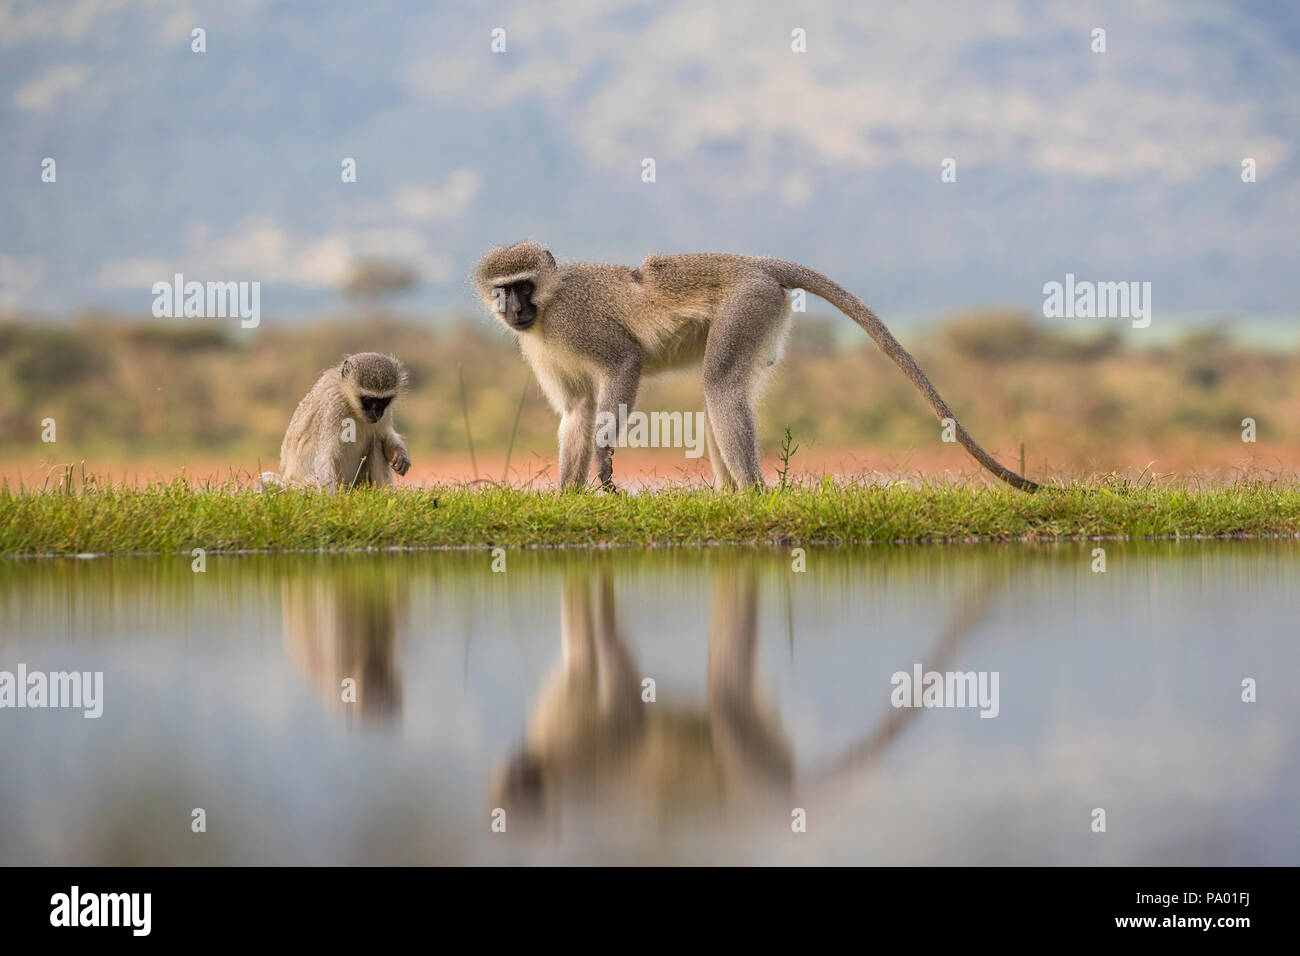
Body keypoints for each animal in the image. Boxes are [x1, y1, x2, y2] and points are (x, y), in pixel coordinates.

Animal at [271, 352, 411, 490]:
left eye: (384, 401)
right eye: (368, 400)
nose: (377, 413)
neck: (350, 403)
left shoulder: (385, 413)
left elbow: (386, 434)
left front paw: (400, 454)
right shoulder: (334, 405)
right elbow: (324, 458)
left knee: (376, 441)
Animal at [473, 241, 1037, 493]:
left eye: (523, 286)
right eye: (502, 289)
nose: (512, 309)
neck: (547, 309)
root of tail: (755, 263)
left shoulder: (578, 321)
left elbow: (624, 361)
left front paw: (605, 461)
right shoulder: (540, 345)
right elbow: (576, 410)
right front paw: (567, 496)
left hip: (748, 303)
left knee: (720, 387)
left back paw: (752, 495)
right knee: (720, 391)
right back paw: (731, 496)